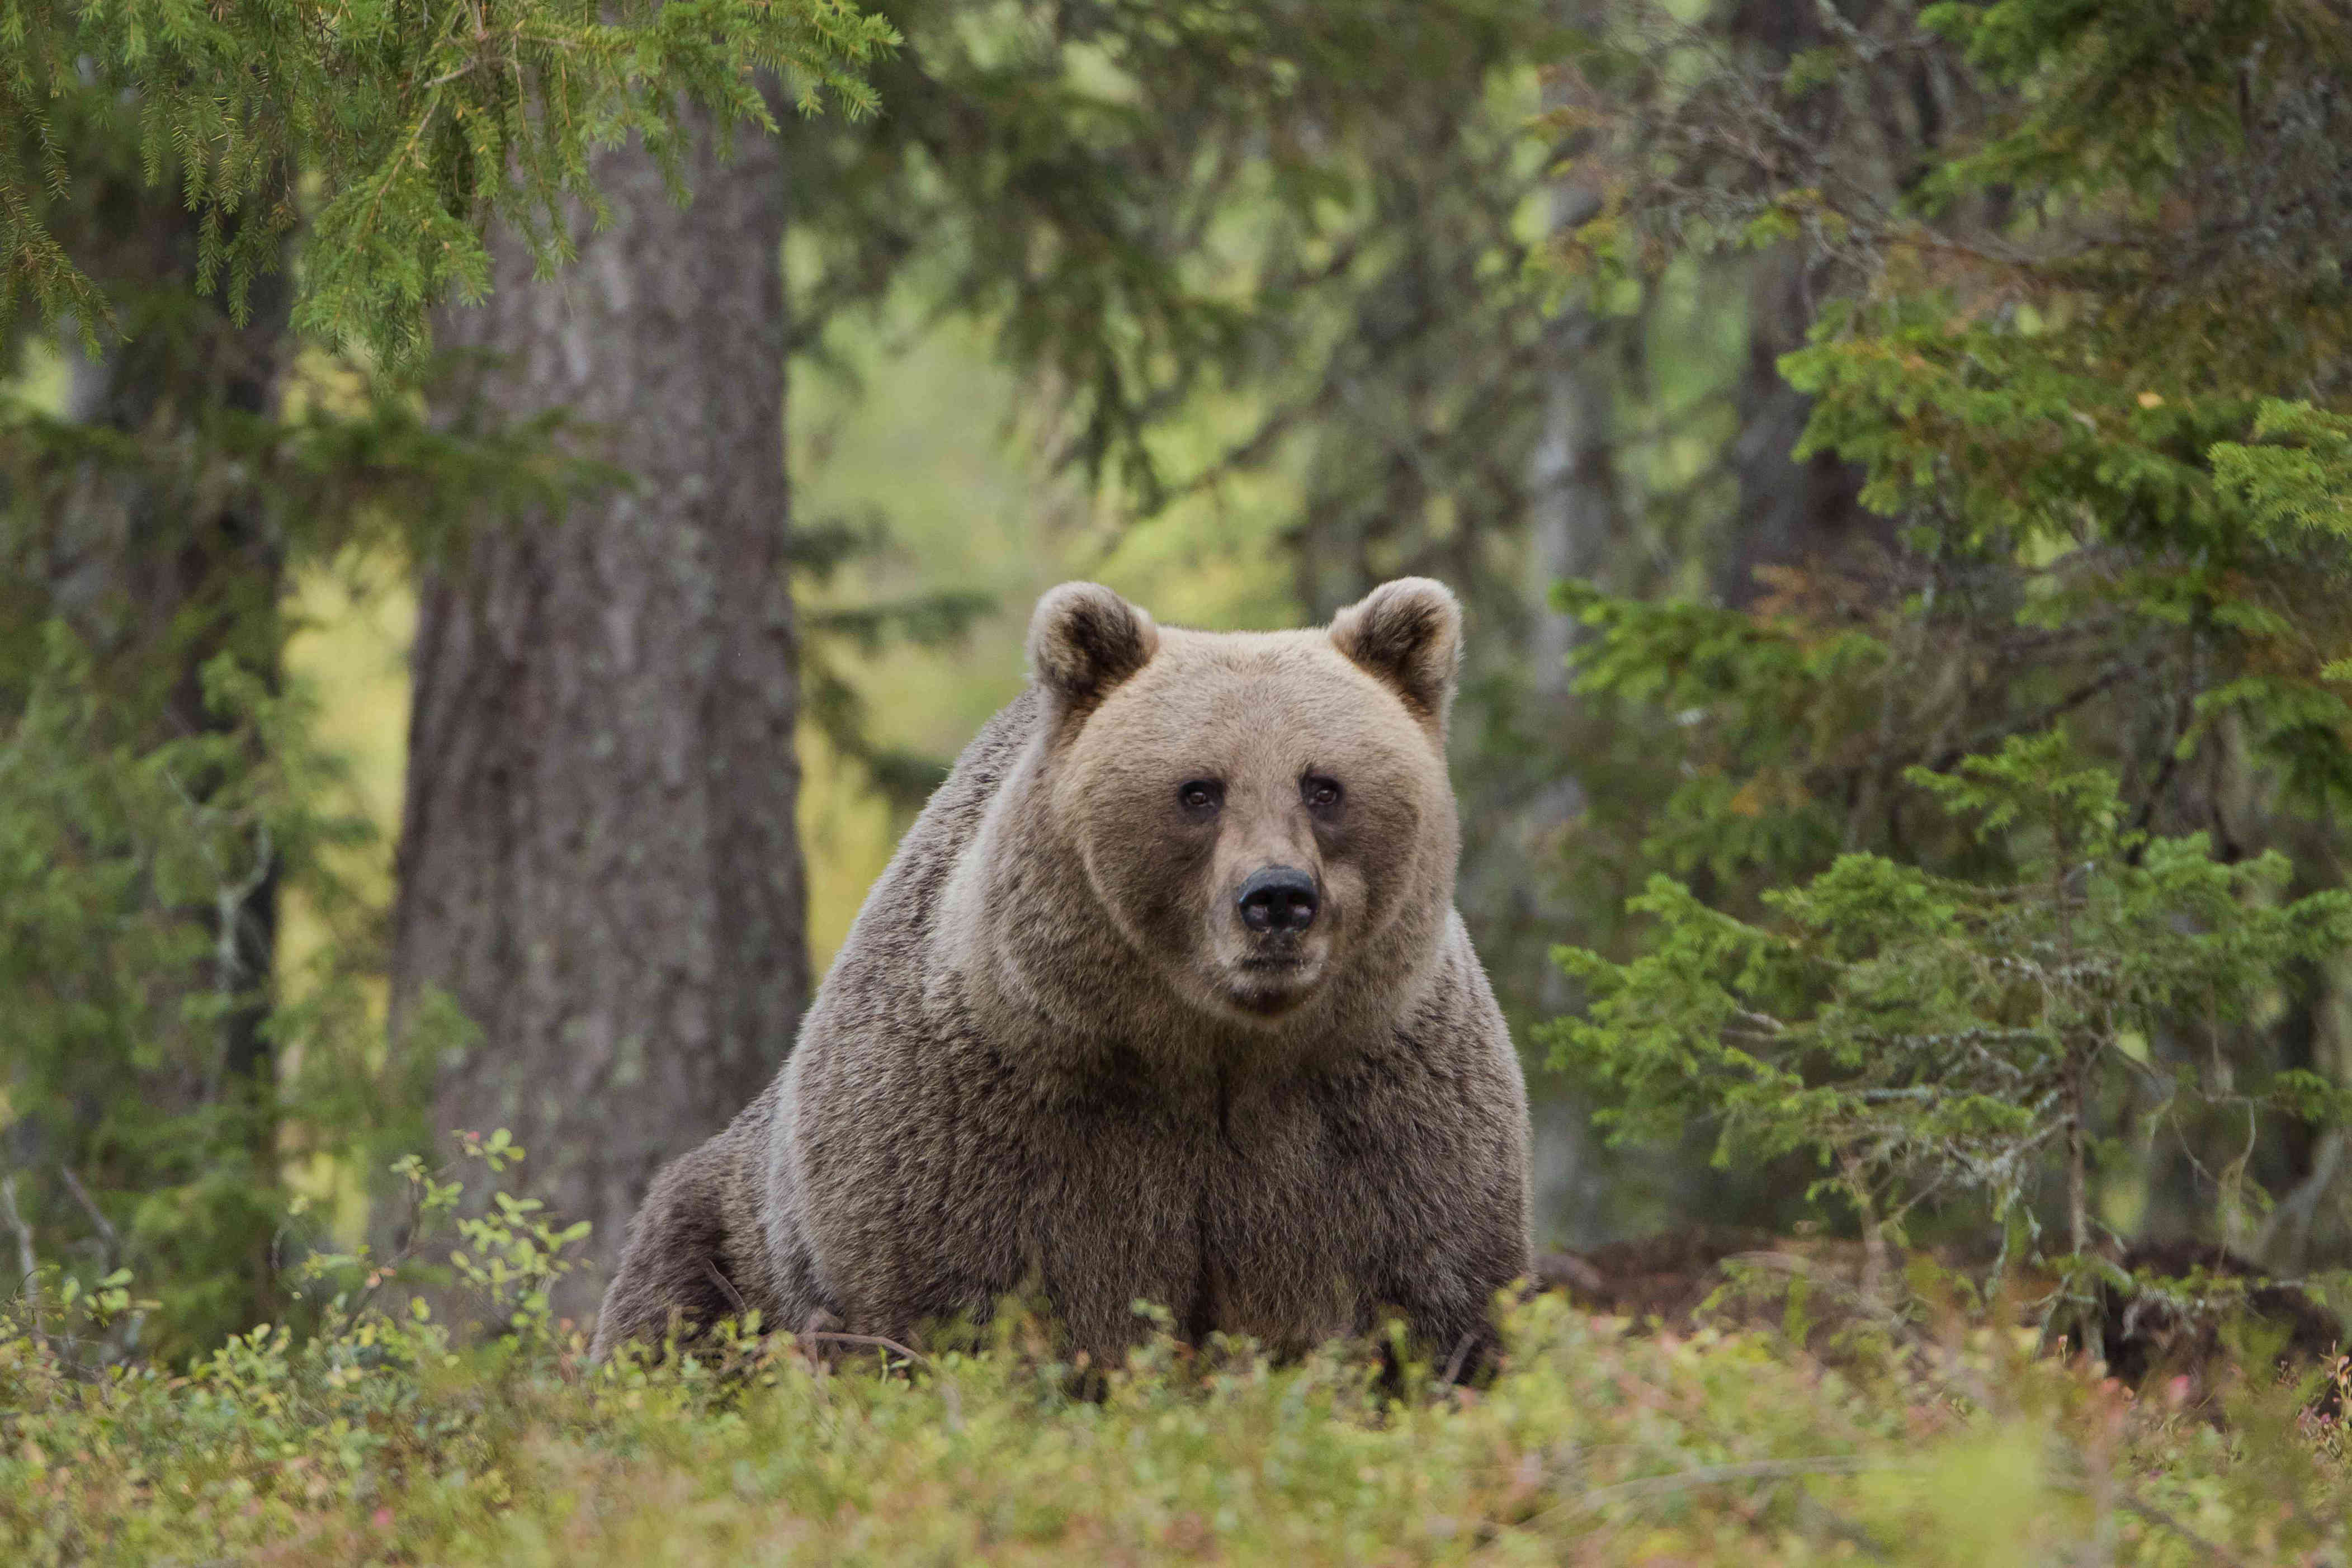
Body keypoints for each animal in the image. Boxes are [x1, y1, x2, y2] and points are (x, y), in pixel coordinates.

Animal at [591, 578, 1532, 1374]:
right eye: (1199, 789)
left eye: (1323, 785)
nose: (1276, 900)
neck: (1213, 1049)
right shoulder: (991, 1127)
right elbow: (951, 1308)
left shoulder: (1380, 1115)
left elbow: (1435, 1308)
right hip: (722, 1229)